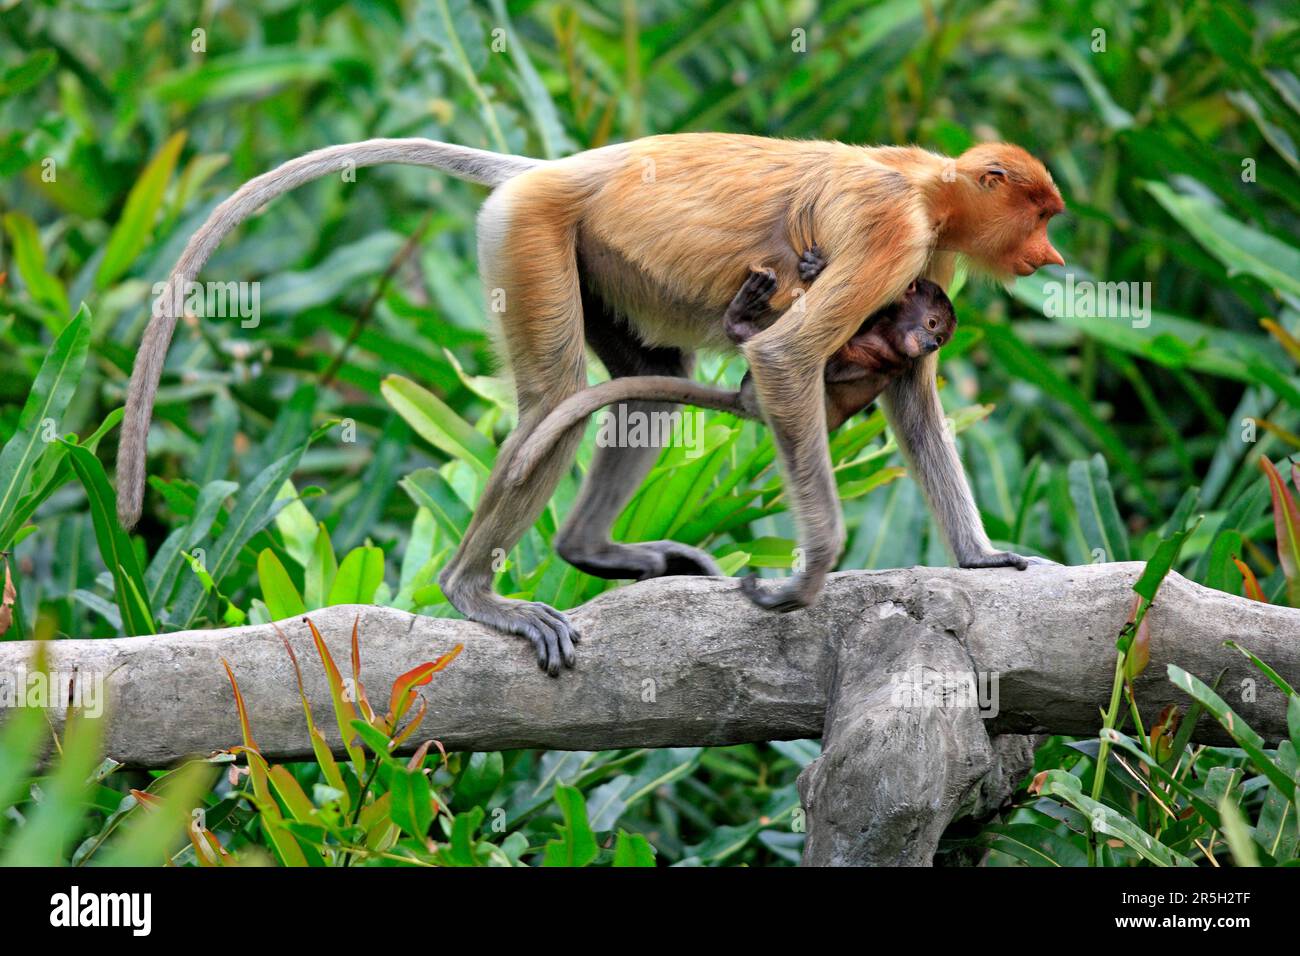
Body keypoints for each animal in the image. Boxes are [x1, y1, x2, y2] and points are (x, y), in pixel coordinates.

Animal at [504, 267, 958, 488]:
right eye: (932, 324)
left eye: (940, 336)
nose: (930, 346)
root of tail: (748, 403)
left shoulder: (888, 350)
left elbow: (826, 364)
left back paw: (739, 324)